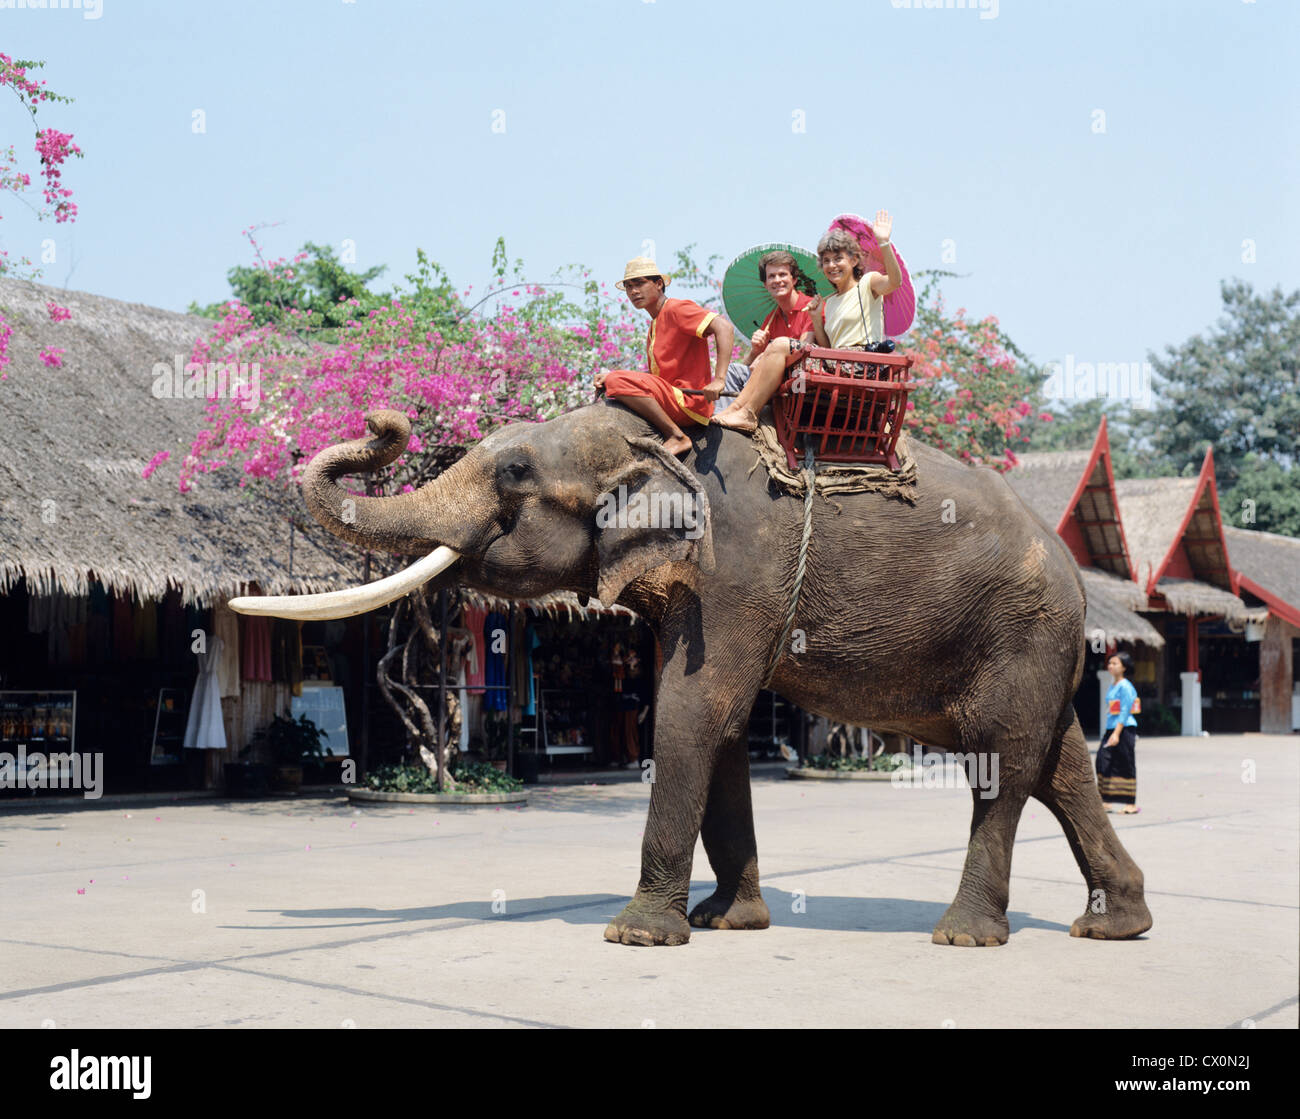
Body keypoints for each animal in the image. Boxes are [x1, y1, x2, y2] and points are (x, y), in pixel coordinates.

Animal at [233, 399, 1153, 948]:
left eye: (515, 472)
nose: (385, 421)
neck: (652, 436)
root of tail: (1080, 578)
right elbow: (725, 728)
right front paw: (727, 923)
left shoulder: (738, 572)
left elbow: (691, 711)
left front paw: (636, 935)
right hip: (1039, 642)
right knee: (1063, 764)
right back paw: (1118, 923)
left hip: (1023, 630)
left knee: (1003, 762)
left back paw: (963, 937)